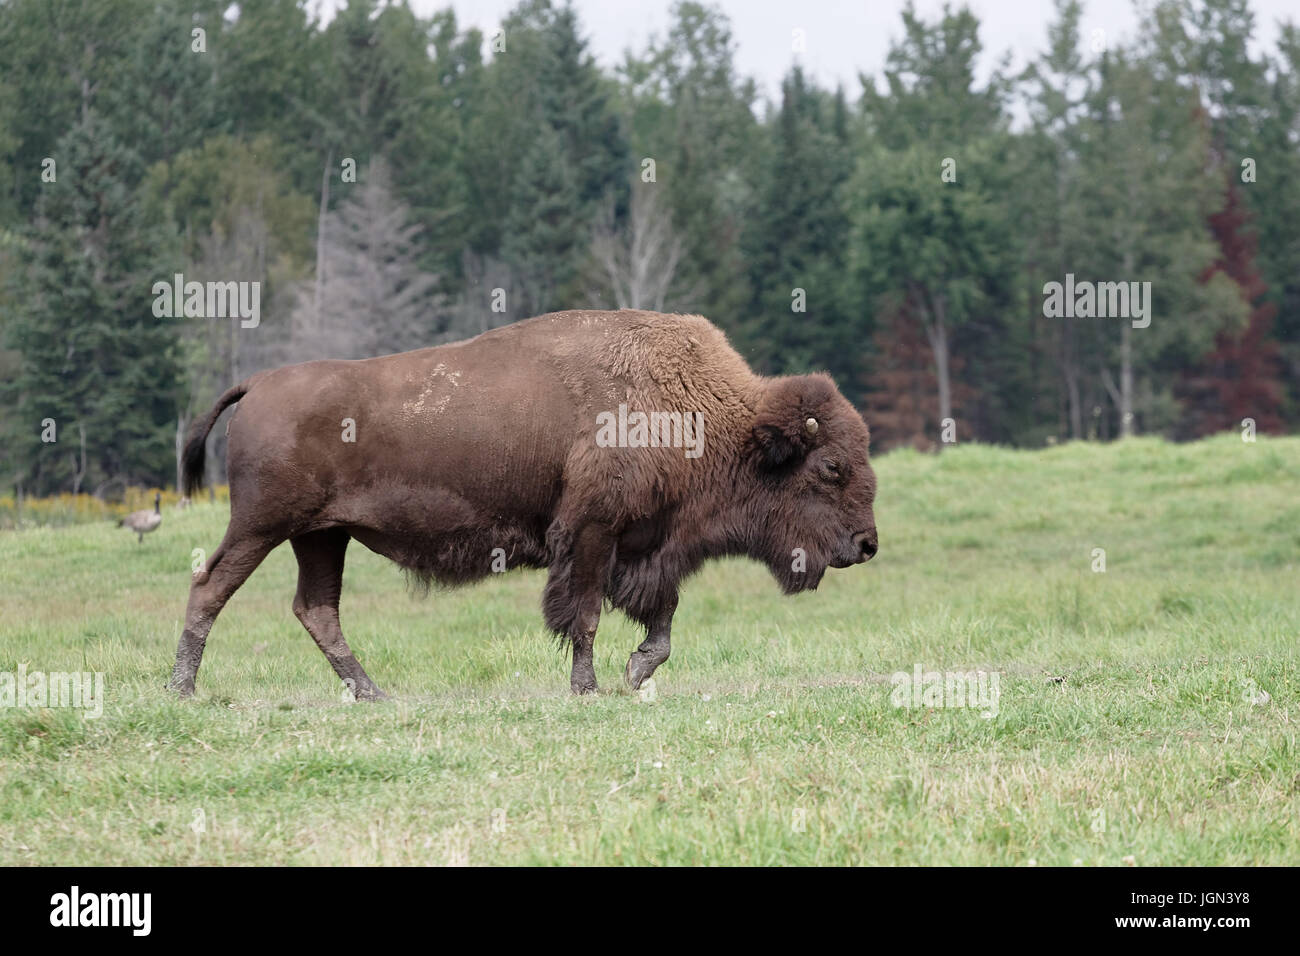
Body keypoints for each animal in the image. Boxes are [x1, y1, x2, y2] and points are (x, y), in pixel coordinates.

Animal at [169, 310, 877, 699]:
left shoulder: (648, 543)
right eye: (831, 467)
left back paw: (374, 694)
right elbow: (585, 616)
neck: (698, 410)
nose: (866, 544)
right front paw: (590, 688)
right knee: (211, 586)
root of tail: (259, 382)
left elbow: (661, 618)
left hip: (322, 536)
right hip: (262, 525)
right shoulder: (591, 534)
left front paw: (636, 671)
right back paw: (183, 691)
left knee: (317, 610)